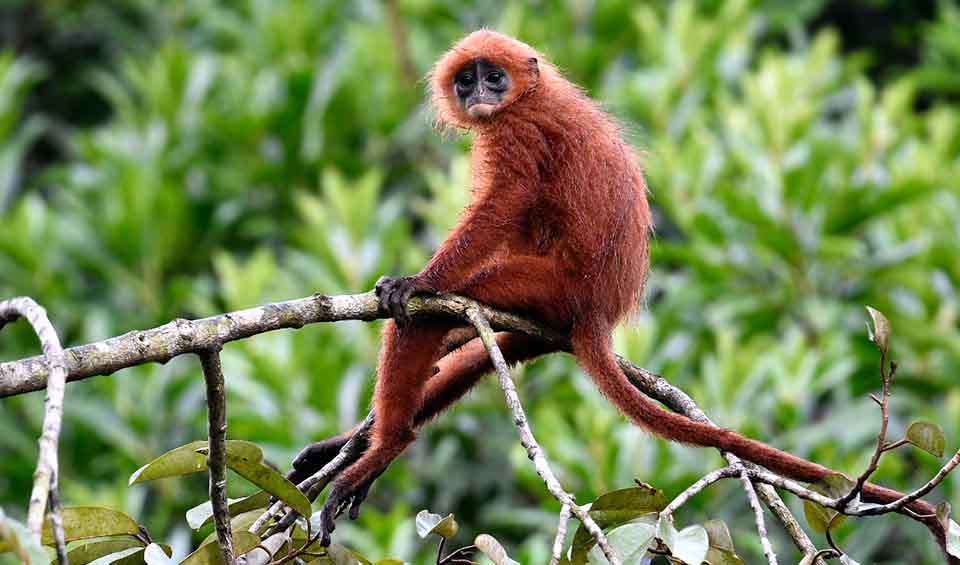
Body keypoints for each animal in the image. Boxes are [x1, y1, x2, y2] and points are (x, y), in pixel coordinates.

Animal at [297, 30, 949, 554]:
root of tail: (598, 313)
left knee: (424, 319)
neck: (528, 97)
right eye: (467, 79)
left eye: (494, 77)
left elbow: (503, 204)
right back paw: (356, 447)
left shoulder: (519, 129)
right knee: (483, 349)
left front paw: (418, 280)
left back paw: (388, 442)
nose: (479, 92)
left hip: (547, 287)